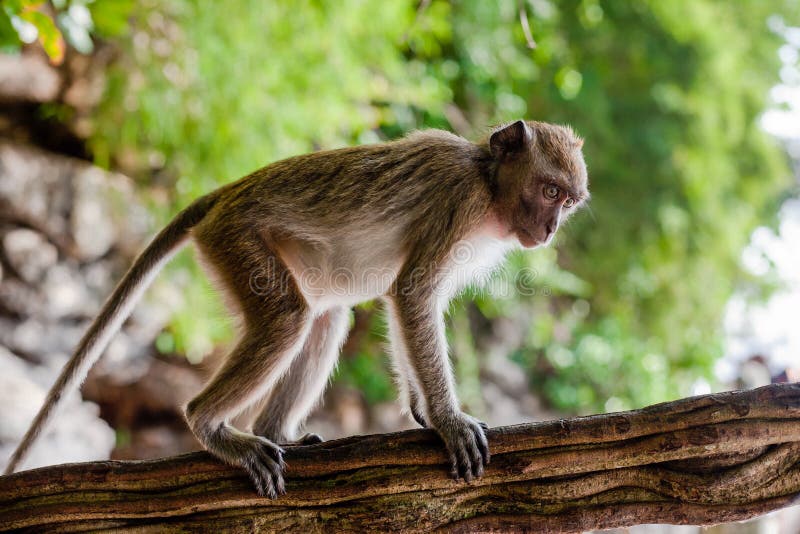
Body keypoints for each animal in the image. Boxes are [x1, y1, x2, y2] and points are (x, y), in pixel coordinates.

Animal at [3, 119, 588, 498]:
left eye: (567, 200)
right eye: (549, 190)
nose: (550, 229)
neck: (488, 181)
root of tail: (226, 193)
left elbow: (410, 301)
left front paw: (422, 411)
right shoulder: (459, 202)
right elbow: (413, 292)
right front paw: (447, 420)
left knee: (324, 318)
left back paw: (275, 430)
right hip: (236, 237)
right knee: (288, 317)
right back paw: (212, 427)